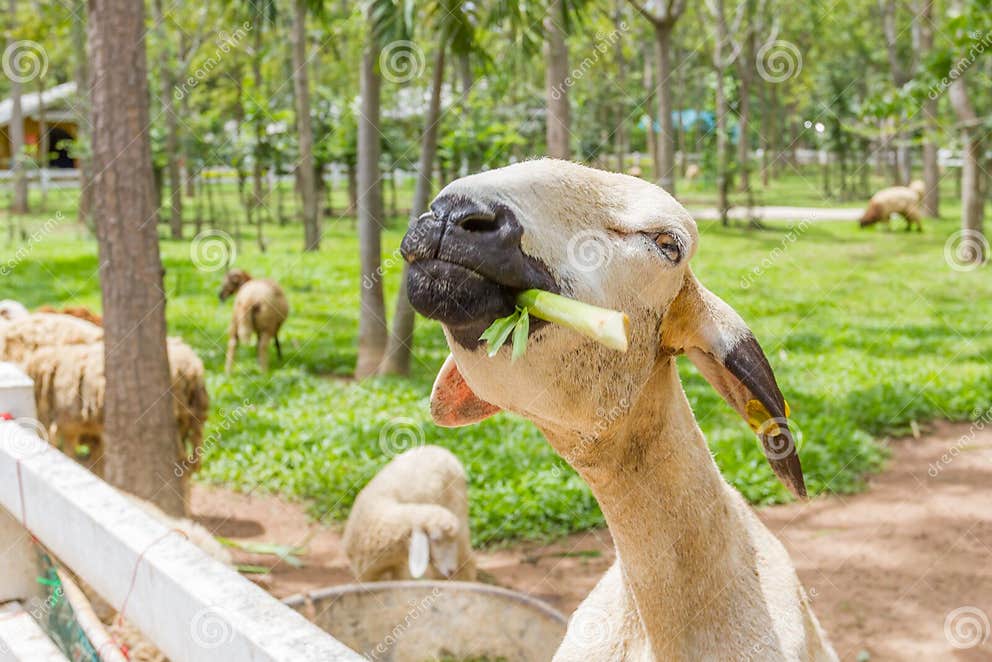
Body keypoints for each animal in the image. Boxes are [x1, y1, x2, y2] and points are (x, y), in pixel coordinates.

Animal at [343, 445, 476, 582]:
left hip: (458, 508)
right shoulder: (364, 572)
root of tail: (441, 449)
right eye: (436, 539)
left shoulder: (402, 568)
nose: (451, 570)